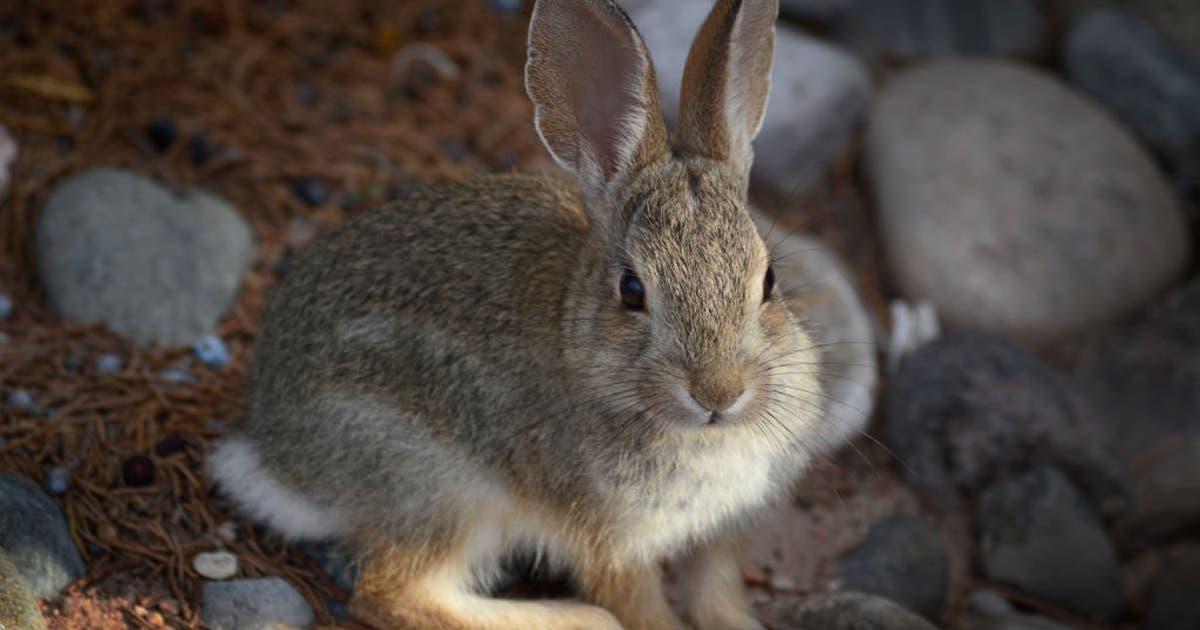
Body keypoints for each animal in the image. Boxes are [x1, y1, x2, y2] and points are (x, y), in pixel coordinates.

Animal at [208, 0, 863, 628]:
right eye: (631, 290)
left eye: (769, 281)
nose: (719, 393)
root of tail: (274, 452)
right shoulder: (610, 543)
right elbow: (642, 608)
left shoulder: (722, 533)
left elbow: (717, 595)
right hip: (441, 487)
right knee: (392, 593)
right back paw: (577, 619)